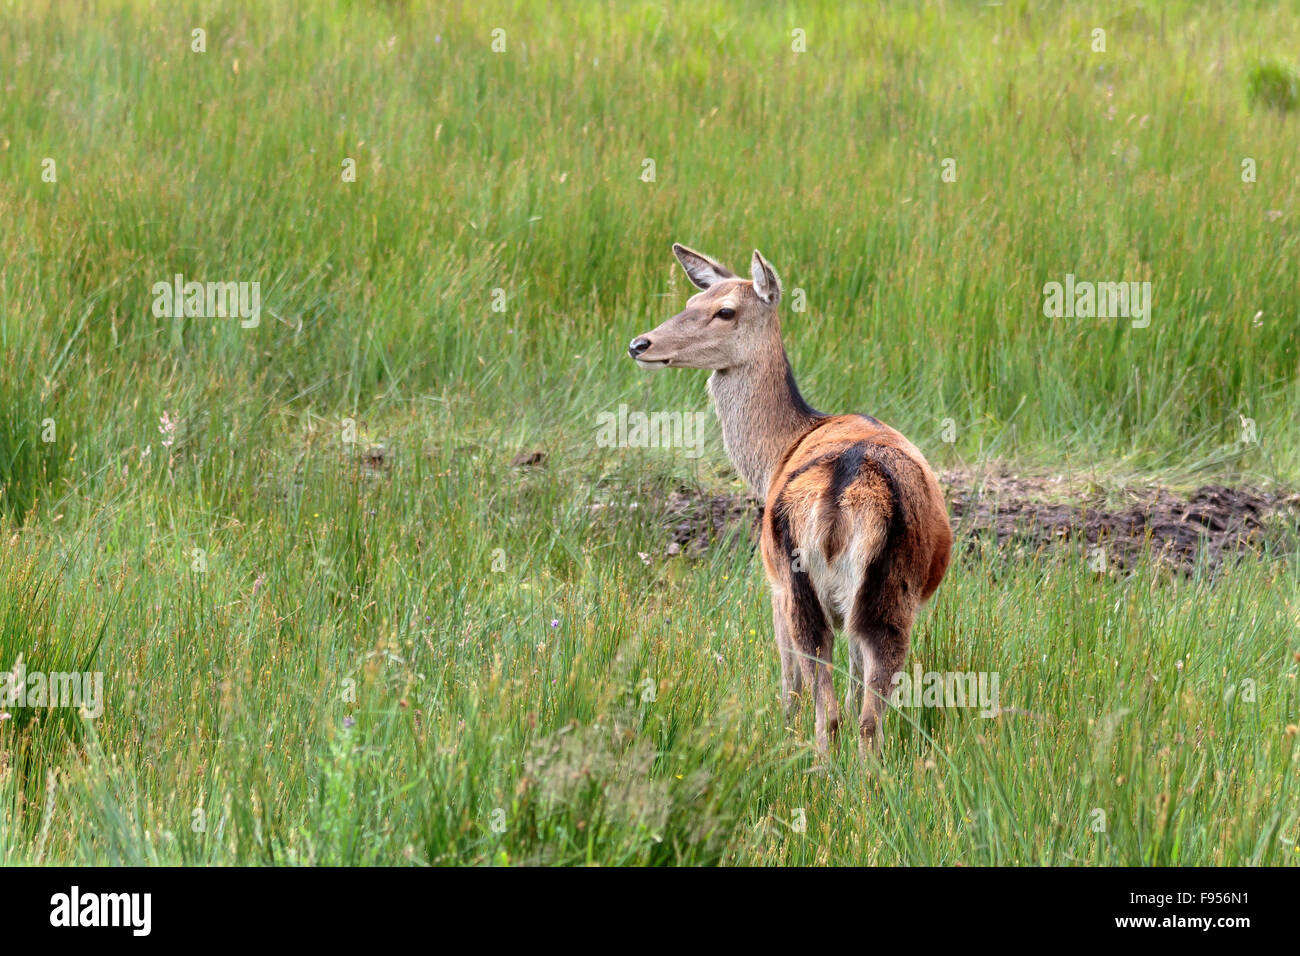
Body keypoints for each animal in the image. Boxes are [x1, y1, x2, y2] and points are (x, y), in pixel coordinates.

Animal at [628, 244, 952, 757]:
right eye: (690, 302)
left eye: (725, 311)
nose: (640, 344)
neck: (778, 451)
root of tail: (843, 490)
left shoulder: (773, 585)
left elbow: (789, 683)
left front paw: (782, 730)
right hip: (887, 597)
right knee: (865, 715)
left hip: (798, 580)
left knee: (829, 708)